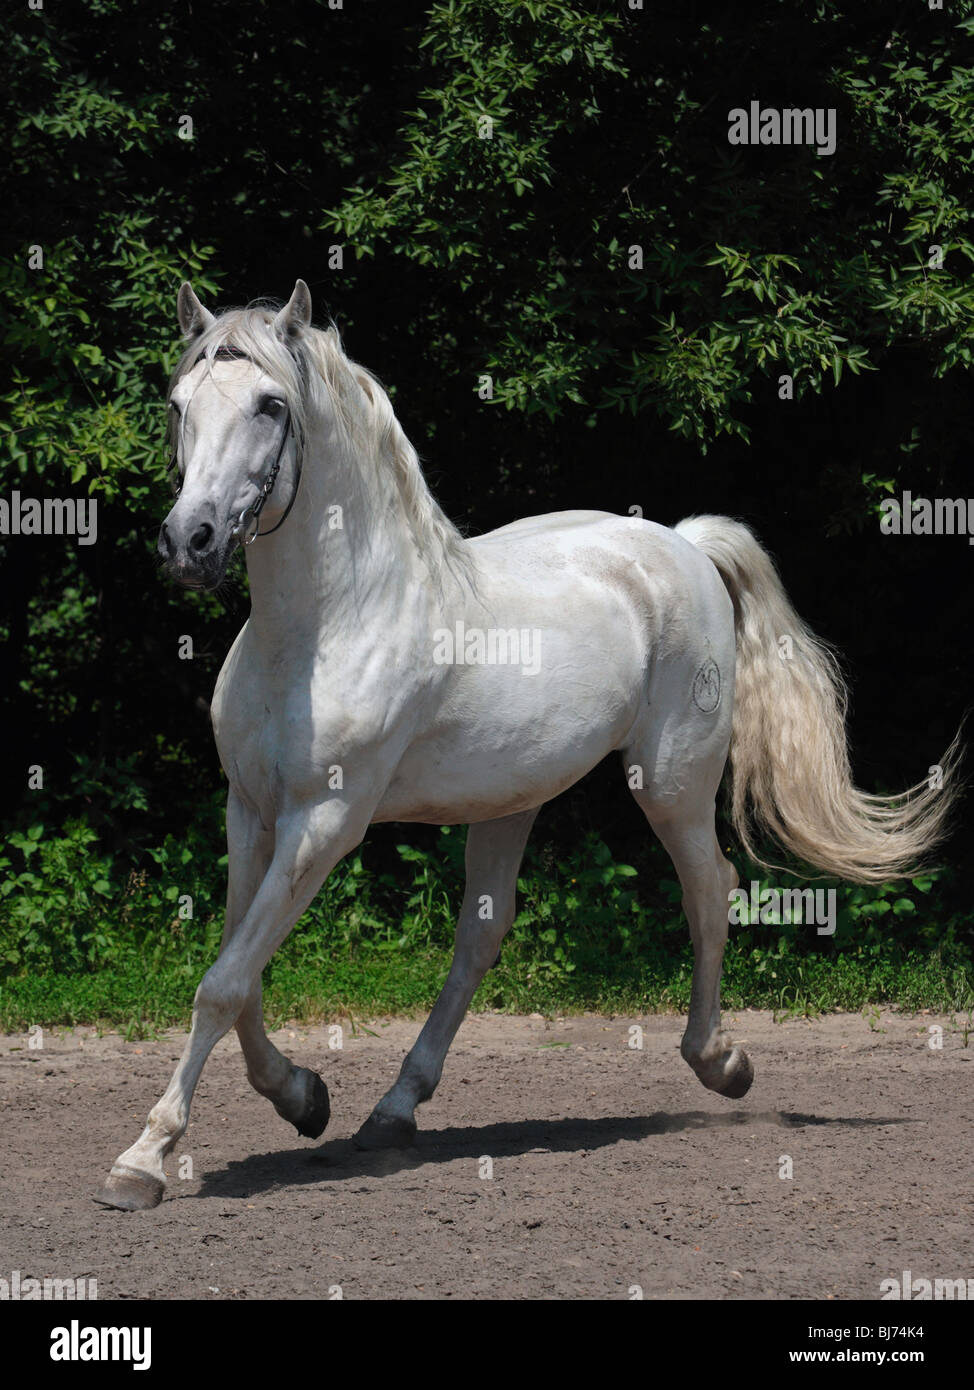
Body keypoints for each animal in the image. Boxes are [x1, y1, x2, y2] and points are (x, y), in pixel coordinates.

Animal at [95, 279, 958, 1209]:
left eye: (270, 404)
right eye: (180, 404)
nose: (190, 542)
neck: (325, 624)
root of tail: (684, 544)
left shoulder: (324, 822)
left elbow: (223, 983)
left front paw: (143, 1160)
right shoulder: (250, 812)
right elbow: (242, 974)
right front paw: (302, 1098)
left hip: (671, 784)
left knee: (708, 889)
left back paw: (721, 1062)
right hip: (511, 800)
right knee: (485, 934)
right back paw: (392, 1112)